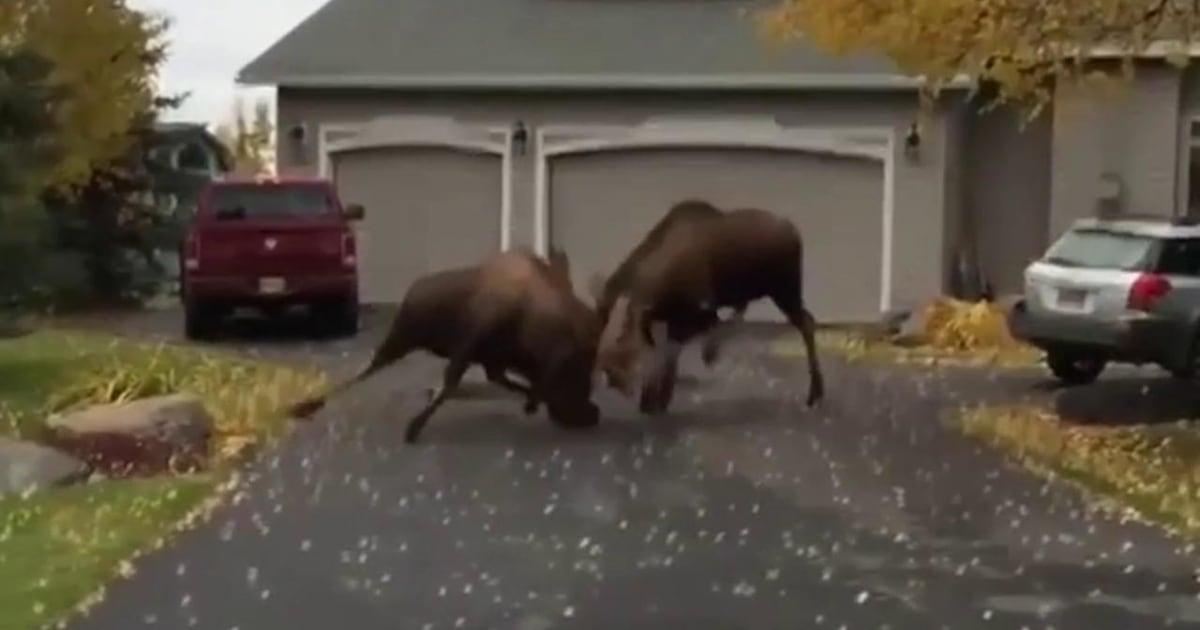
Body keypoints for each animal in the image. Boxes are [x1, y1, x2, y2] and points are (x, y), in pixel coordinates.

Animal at [286, 248, 636, 443]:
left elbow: (502, 382)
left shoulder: (493, 358)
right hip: (401, 337)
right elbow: (451, 383)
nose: (590, 415)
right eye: (579, 374)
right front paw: (414, 428)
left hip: (404, 340)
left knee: (370, 366)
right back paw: (303, 405)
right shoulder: (472, 344)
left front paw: (530, 402)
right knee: (369, 367)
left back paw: (304, 405)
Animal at [588, 198, 825, 415]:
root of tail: (795, 232)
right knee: (755, 310)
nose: (610, 378)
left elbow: (669, 352)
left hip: (785, 289)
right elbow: (668, 352)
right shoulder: (675, 317)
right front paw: (656, 398)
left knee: (806, 321)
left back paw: (815, 393)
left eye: (621, 346)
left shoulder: (698, 313)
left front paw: (656, 397)